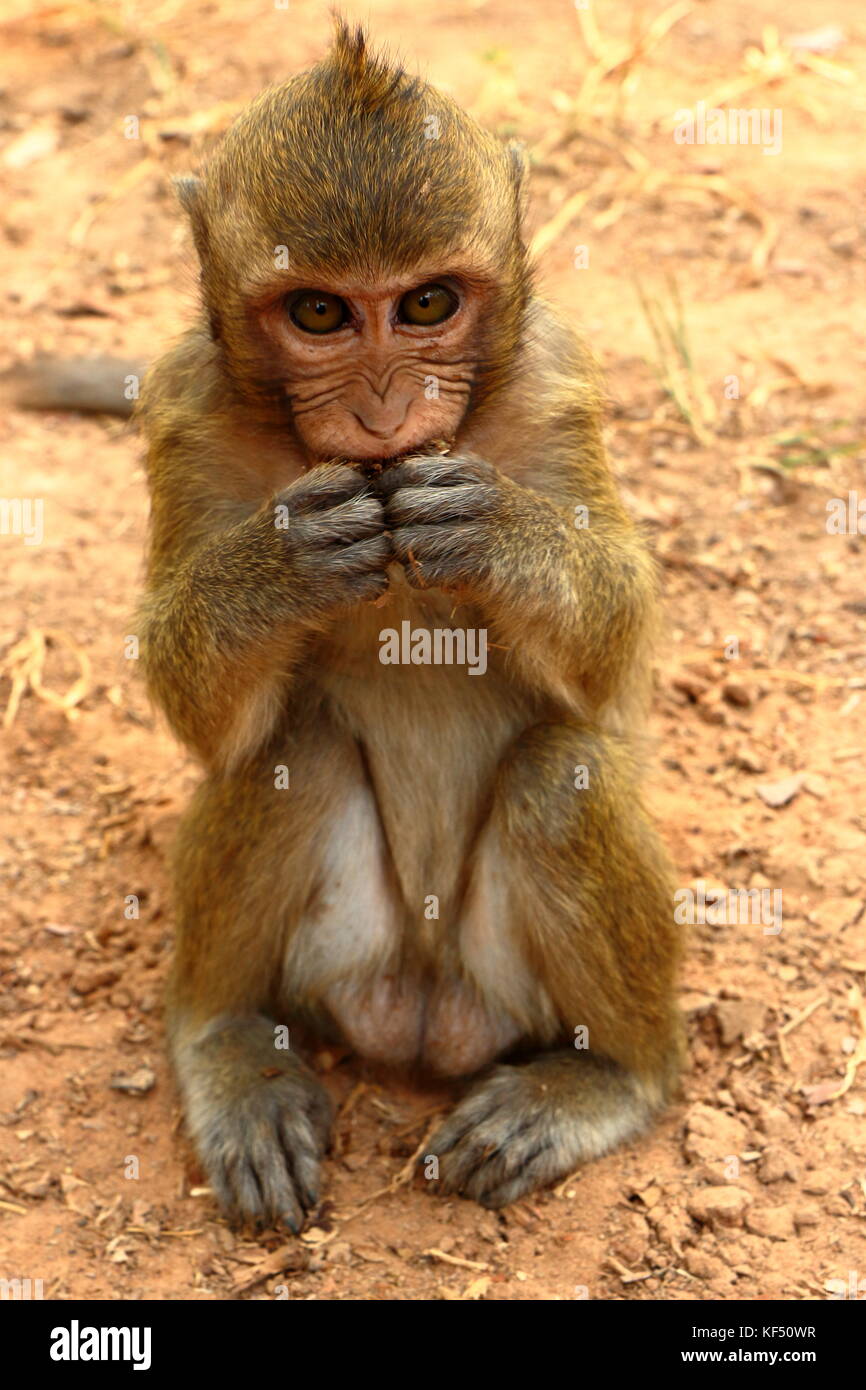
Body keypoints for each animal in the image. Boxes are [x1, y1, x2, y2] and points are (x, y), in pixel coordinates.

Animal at [14, 20, 683, 1228]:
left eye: (424, 306)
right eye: (320, 313)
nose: (382, 412)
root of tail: (418, 1011)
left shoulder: (557, 382)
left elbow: (606, 671)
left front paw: (498, 531)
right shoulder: (183, 404)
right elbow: (207, 717)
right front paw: (282, 561)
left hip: (500, 990)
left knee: (560, 771)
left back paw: (610, 1075)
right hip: (335, 965)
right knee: (290, 748)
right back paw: (227, 1045)